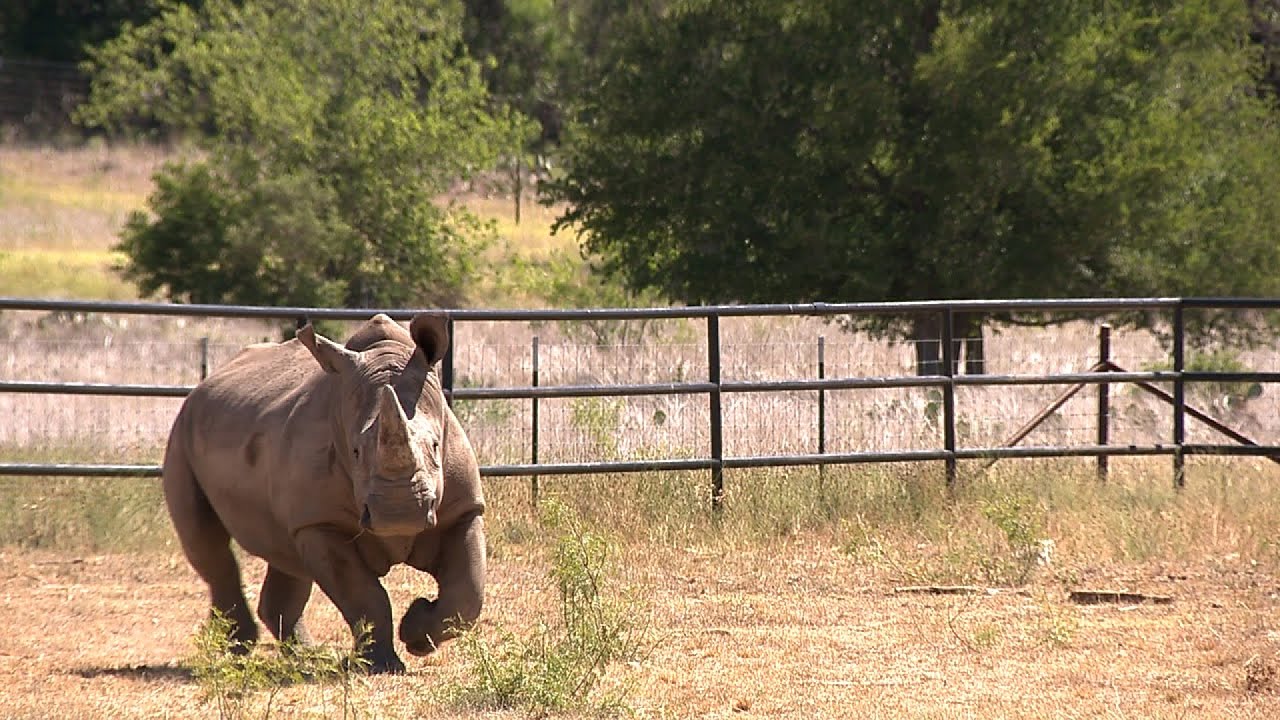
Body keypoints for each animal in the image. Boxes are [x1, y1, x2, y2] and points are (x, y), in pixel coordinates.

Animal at [162, 312, 485, 674]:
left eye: (435, 445)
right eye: (355, 452)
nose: (399, 514)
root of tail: (203, 385)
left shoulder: (463, 510)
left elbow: (467, 593)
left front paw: (415, 631)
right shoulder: (320, 522)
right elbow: (364, 595)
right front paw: (381, 666)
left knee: (286, 557)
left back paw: (310, 657)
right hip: (182, 434)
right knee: (208, 544)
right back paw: (238, 649)